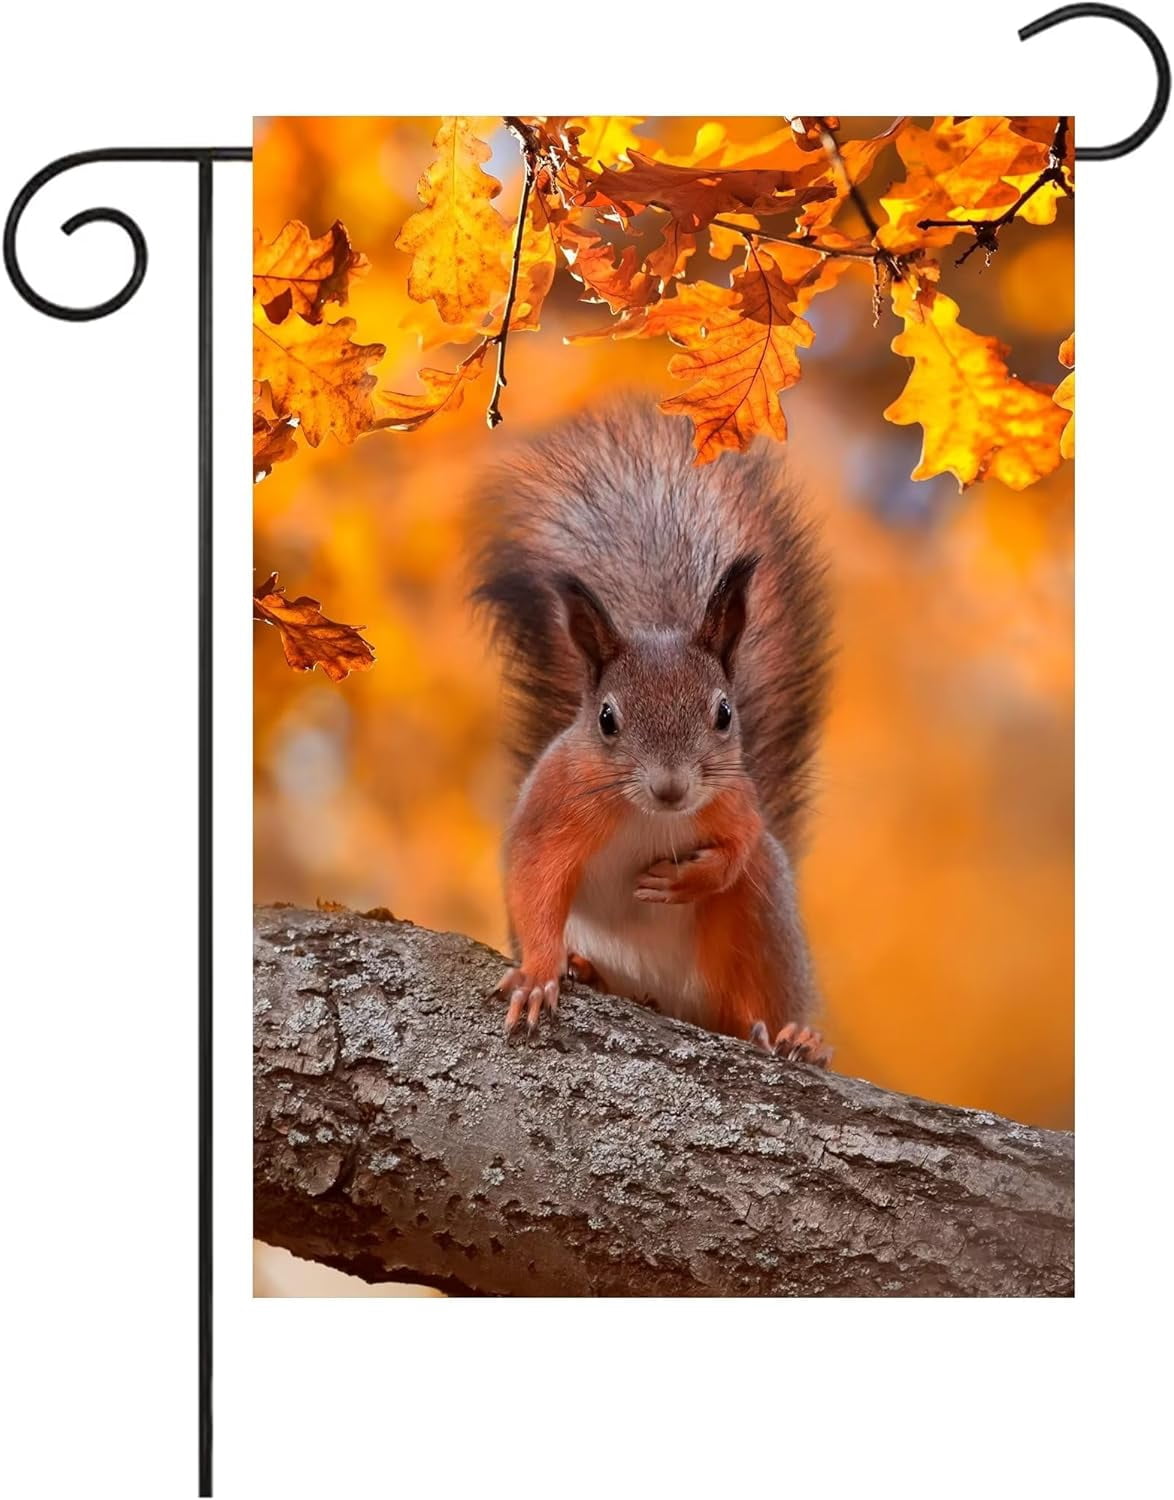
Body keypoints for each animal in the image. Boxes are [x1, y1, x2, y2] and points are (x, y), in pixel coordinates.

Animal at [474, 402, 833, 1066]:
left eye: (725, 713)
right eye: (606, 718)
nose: (671, 790)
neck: (648, 817)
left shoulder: (734, 799)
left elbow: (739, 845)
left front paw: (688, 877)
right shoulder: (554, 809)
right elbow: (535, 884)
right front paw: (538, 973)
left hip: (762, 920)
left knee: (750, 995)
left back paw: (791, 1036)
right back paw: (585, 968)